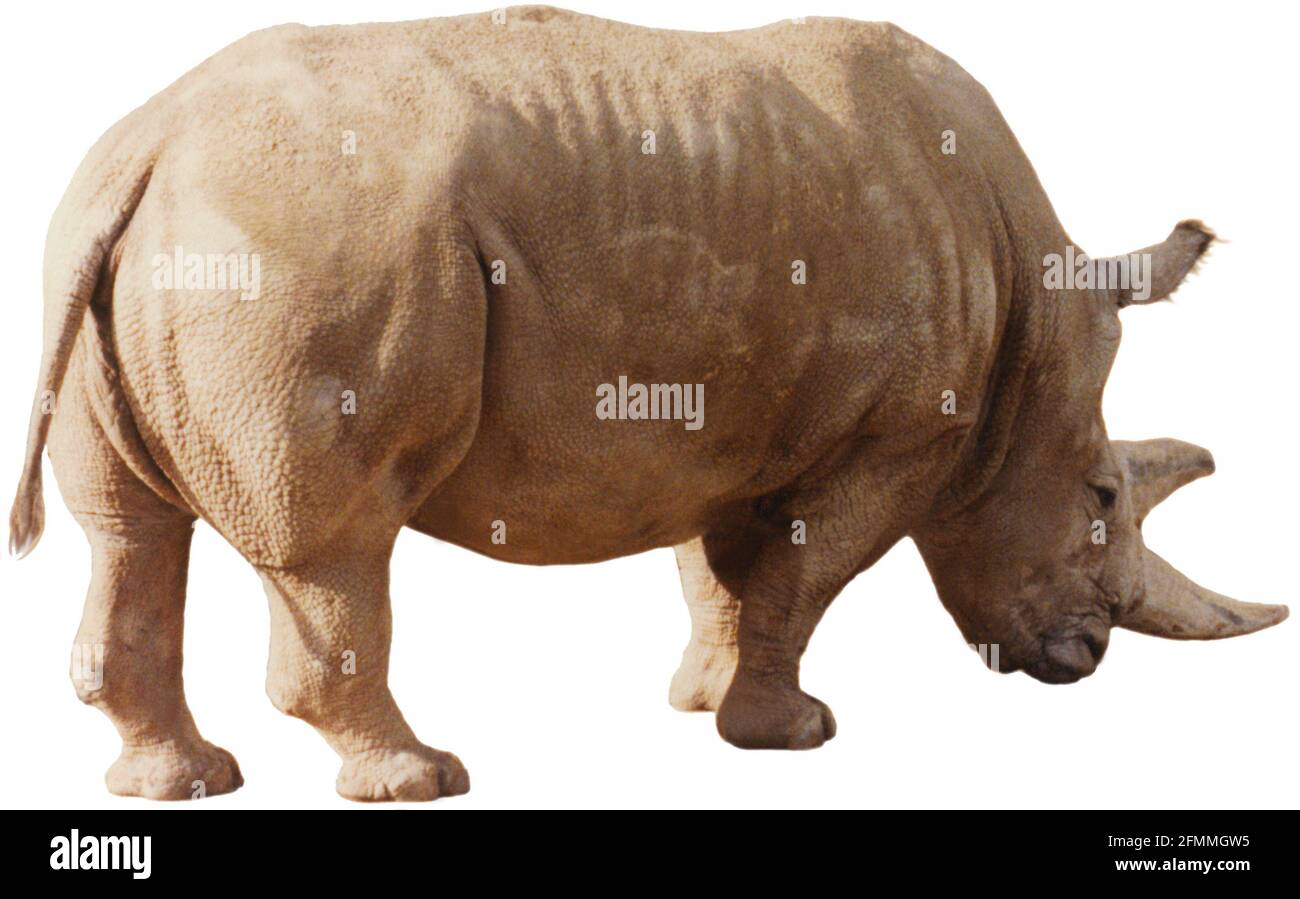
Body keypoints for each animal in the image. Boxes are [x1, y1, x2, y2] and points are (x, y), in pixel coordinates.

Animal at [9, 6, 1287, 802]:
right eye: (1103, 491)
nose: (1082, 655)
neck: (1029, 317)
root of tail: (148, 144)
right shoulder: (899, 436)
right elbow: (803, 574)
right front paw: (793, 733)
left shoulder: (729, 420)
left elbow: (724, 568)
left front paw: (701, 700)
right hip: (312, 247)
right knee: (335, 541)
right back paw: (422, 778)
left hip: (137, 238)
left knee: (129, 530)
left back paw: (182, 782)